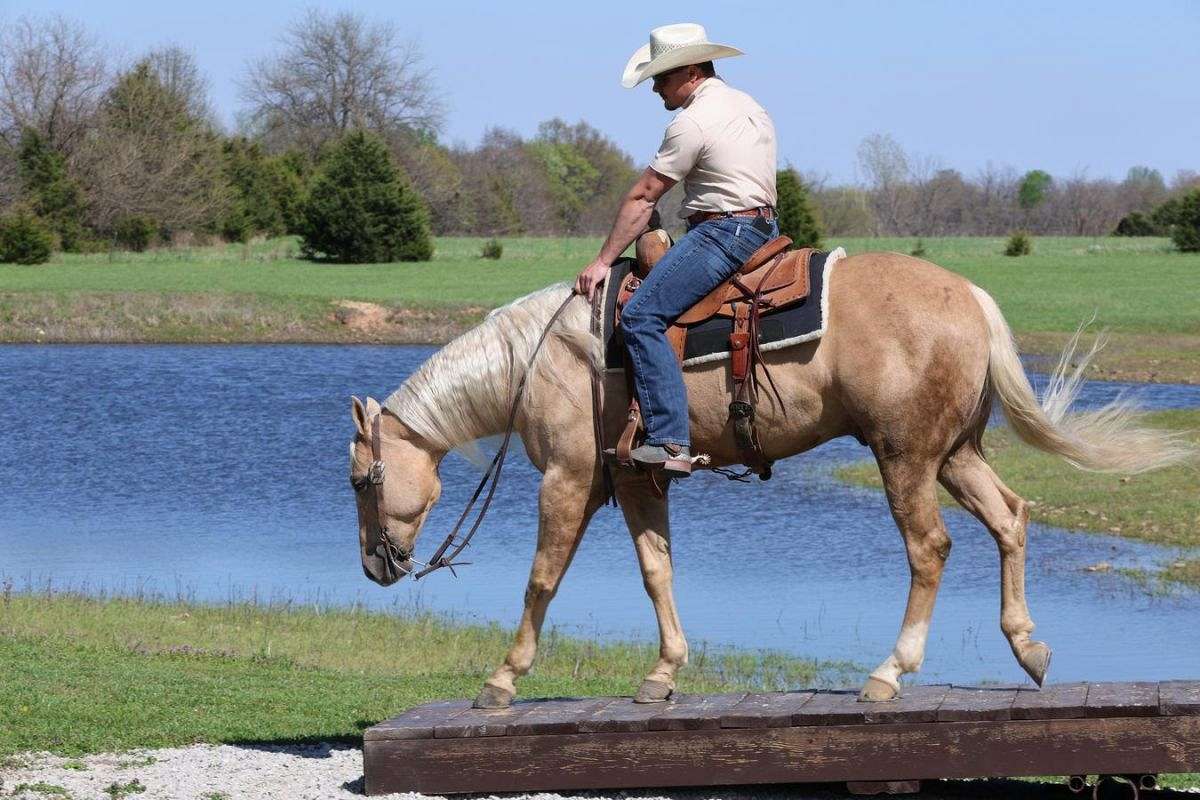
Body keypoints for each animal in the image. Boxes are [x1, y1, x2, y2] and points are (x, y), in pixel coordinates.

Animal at [348, 251, 1193, 709]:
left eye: (359, 480)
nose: (375, 566)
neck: (541, 358)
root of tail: (972, 298)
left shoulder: (570, 478)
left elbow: (542, 579)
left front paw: (501, 681)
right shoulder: (636, 481)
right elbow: (656, 570)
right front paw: (663, 673)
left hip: (906, 459)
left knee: (930, 549)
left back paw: (889, 673)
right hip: (954, 453)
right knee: (1010, 517)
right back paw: (1027, 647)